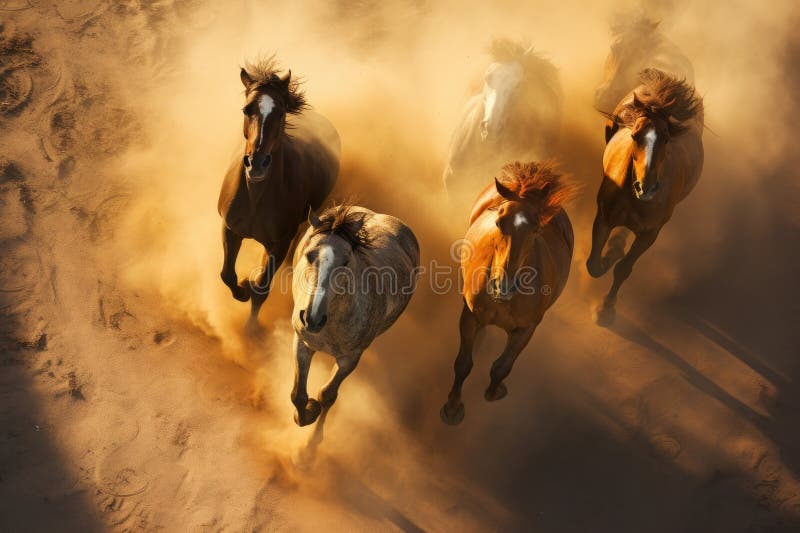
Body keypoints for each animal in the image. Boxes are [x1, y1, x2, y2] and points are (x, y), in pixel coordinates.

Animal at [218, 57, 340, 331]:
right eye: (246, 109)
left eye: (281, 112)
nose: (257, 163)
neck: (255, 198)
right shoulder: (230, 229)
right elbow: (227, 275)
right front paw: (242, 289)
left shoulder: (279, 243)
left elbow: (262, 289)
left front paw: (250, 329)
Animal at [290, 204, 420, 427]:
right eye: (309, 255)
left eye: (345, 261)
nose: (312, 319)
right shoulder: (302, 343)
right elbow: (298, 396)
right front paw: (308, 412)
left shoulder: (350, 359)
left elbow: (327, 396)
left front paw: (315, 415)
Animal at [441, 161, 575, 425]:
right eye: (498, 222)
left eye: (536, 229)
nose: (503, 286)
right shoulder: (470, 316)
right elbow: (463, 364)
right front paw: (452, 408)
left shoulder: (527, 328)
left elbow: (502, 367)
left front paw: (494, 392)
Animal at [586, 68, 704, 326]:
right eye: (634, 136)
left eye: (667, 138)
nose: (646, 188)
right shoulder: (604, 218)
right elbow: (594, 264)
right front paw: (609, 256)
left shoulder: (650, 234)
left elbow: (624, 269)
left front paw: (606, 309)